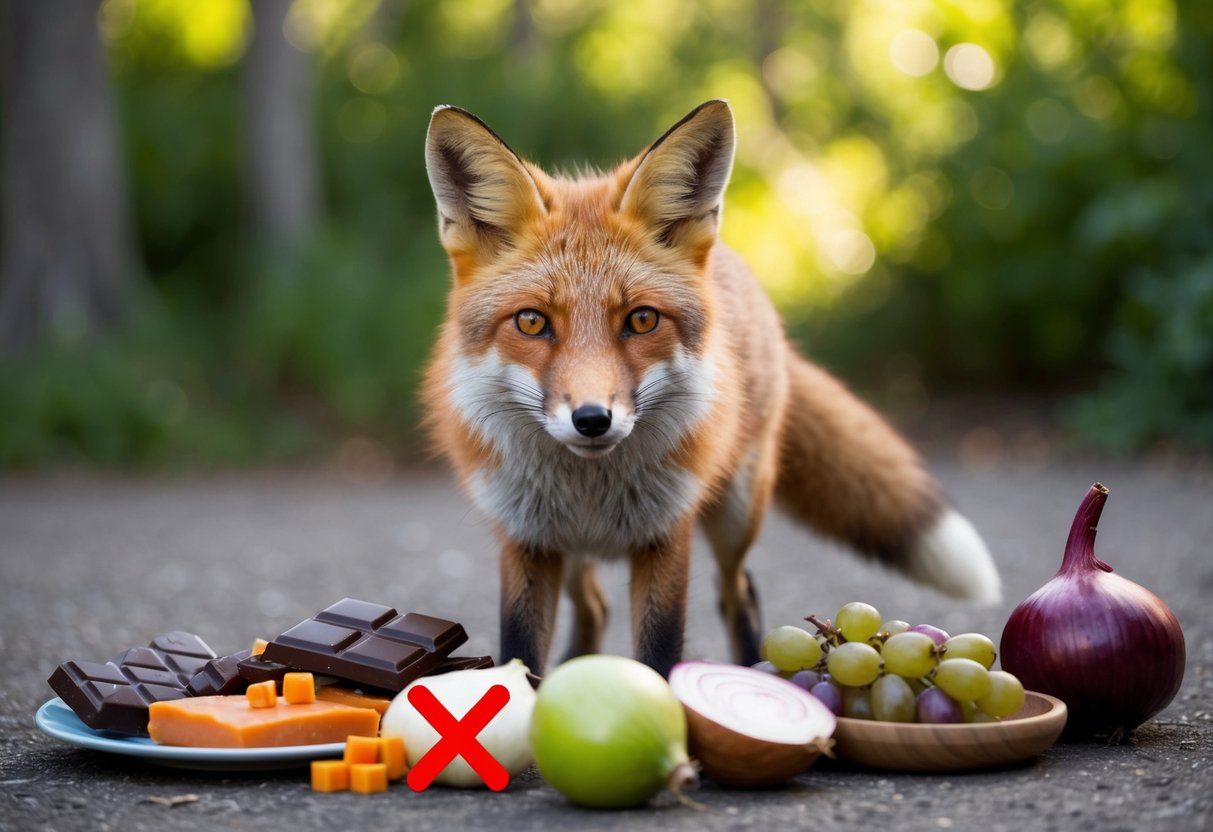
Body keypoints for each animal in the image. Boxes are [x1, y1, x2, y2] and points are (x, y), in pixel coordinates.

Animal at [421, 100, 1000, 678]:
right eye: (532, 322)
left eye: (642, 319)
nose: (592, 420)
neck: (592, 492)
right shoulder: (525, 541)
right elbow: (518, 651)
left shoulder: (666, 535)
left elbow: (658, 656)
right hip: (571, 550)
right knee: (596, 605)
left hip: (737, 512)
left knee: (737, 592)